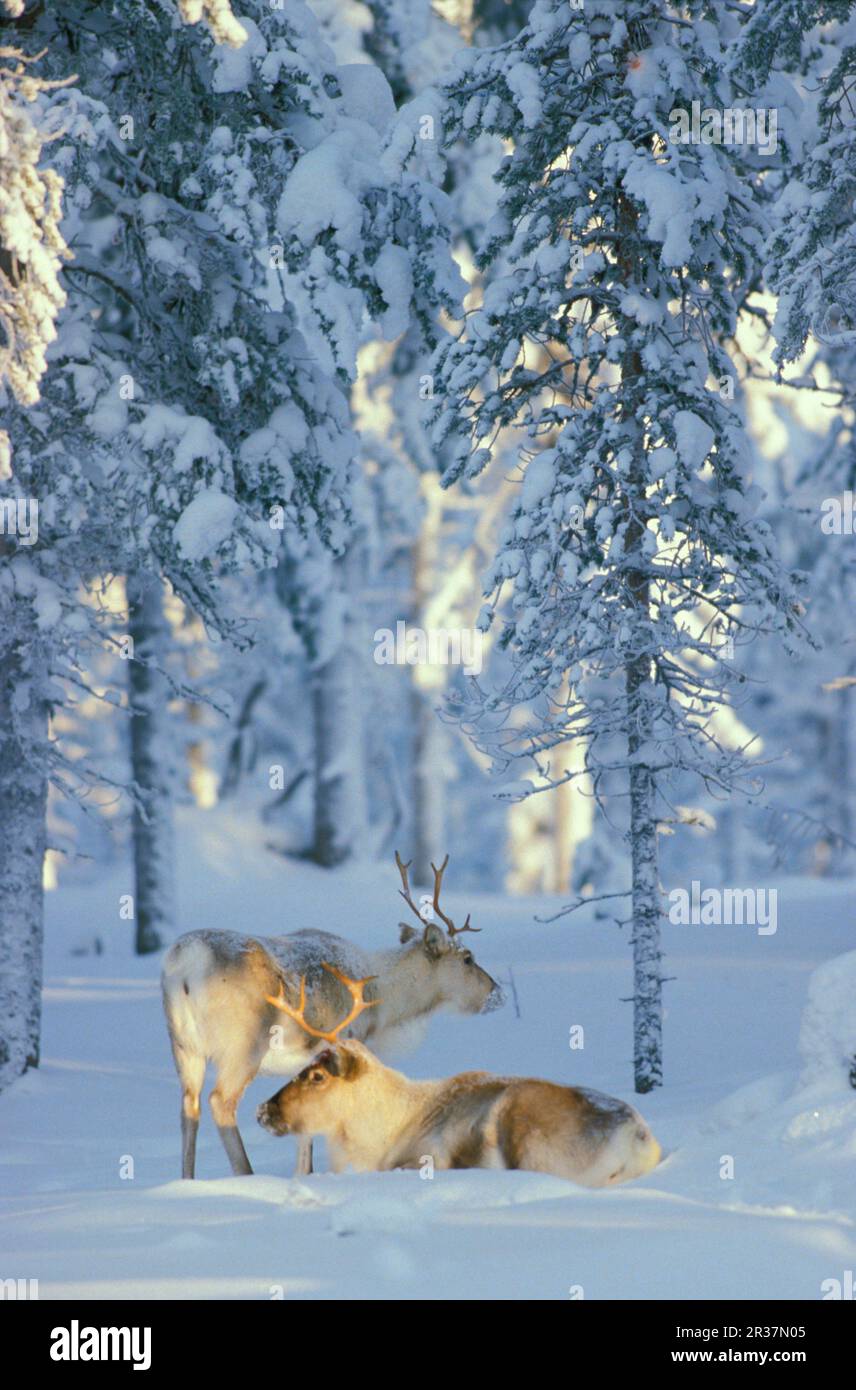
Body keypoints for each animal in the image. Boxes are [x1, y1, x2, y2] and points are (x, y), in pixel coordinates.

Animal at [161, 852, 502, 1179]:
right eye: (468, 958)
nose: (496, 991)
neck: (384, 1006)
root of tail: (187, 963)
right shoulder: (344, 1039)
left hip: (183, 1046)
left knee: (188, 1107)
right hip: (243, 1045)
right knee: (220, 1101)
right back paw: (246, 1174)